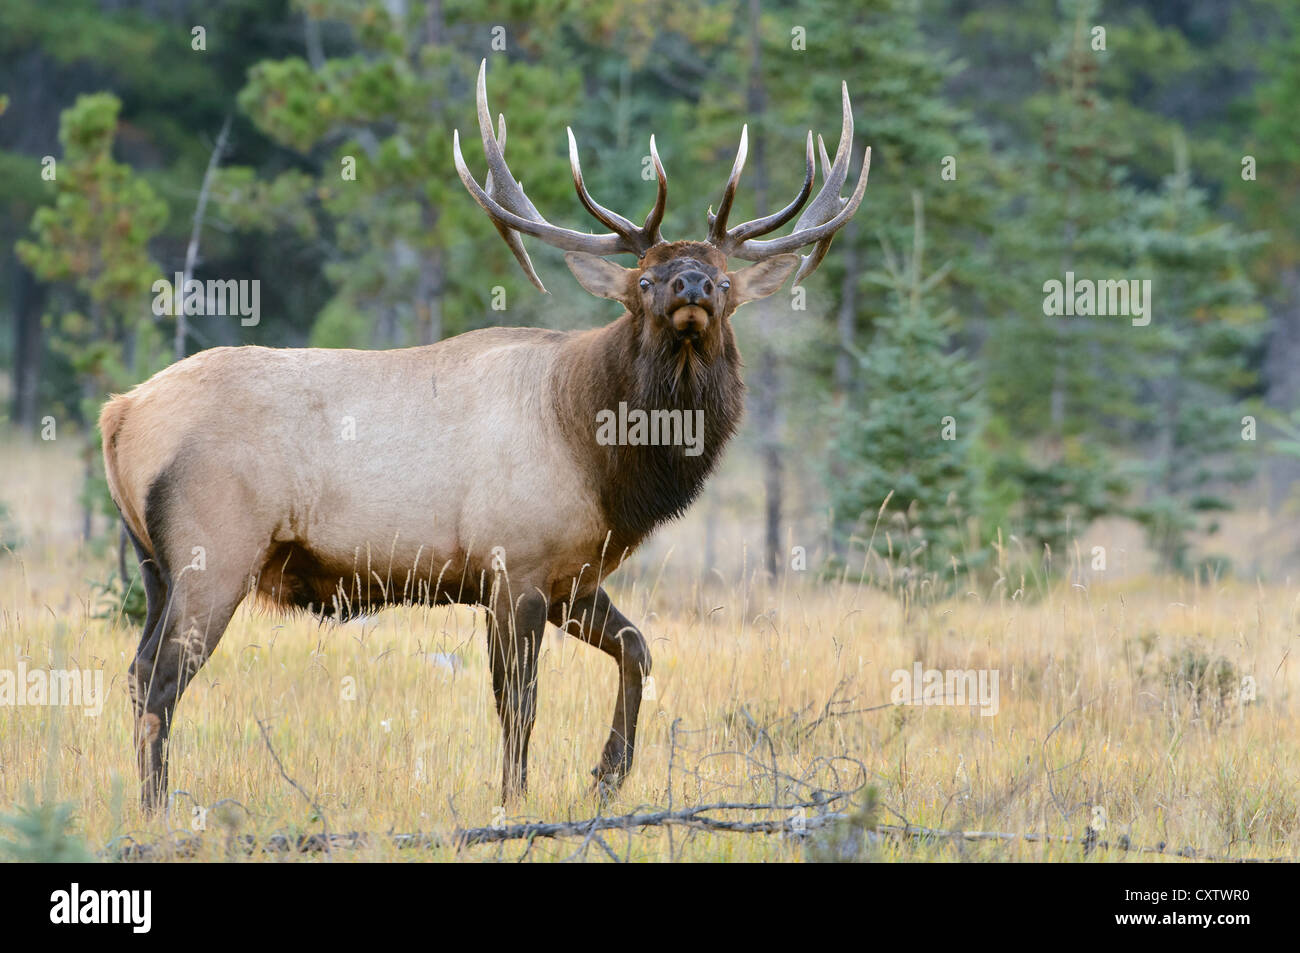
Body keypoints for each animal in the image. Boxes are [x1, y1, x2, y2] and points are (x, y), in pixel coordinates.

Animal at [99, 60, 869, 811]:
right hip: (215, 551)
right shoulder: (515, 563)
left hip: (156, 564)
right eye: (644, 281)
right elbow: (518, 702)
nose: (691, 286)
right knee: (163, 679)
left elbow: (639, 648)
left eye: (726, 281)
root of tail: (120, 412)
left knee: (136, 670)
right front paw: (514, 798)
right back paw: (158, 807)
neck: (601, 459)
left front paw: (608, 774)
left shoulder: (571, 575)